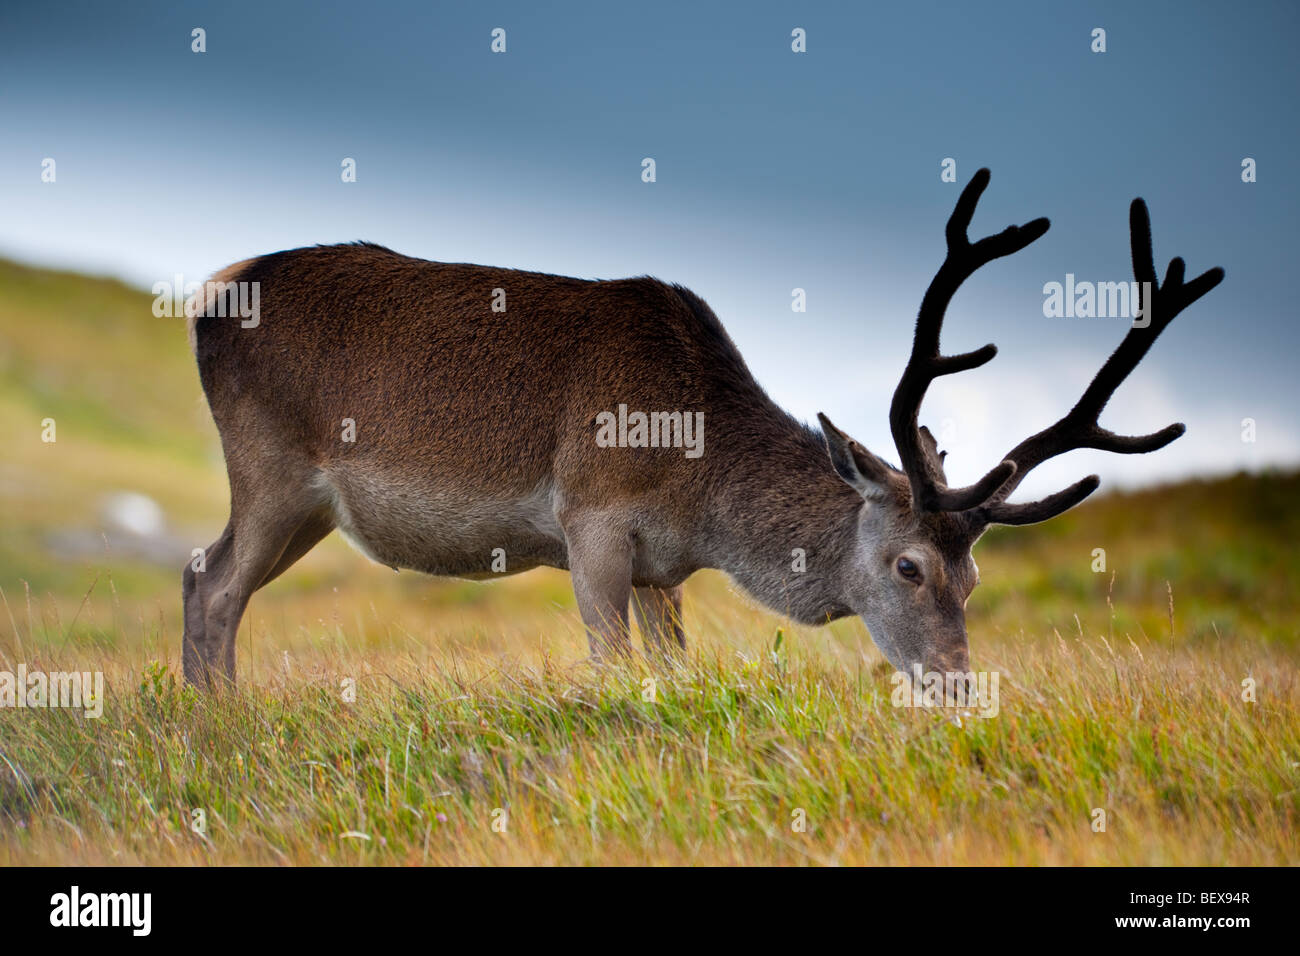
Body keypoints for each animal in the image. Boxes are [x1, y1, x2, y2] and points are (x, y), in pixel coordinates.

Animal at [181, 169, 1223, 690]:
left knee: (203, 575)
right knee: (214, 581)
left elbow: (674, 672)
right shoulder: (592, 520)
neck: (701, 490)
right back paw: (217, 729)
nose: (958, 684)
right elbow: (610, 670)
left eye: (974, 578)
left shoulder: (663, 567)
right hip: (270, 466)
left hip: (309, 508)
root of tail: (207, 298)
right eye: (909, 566)